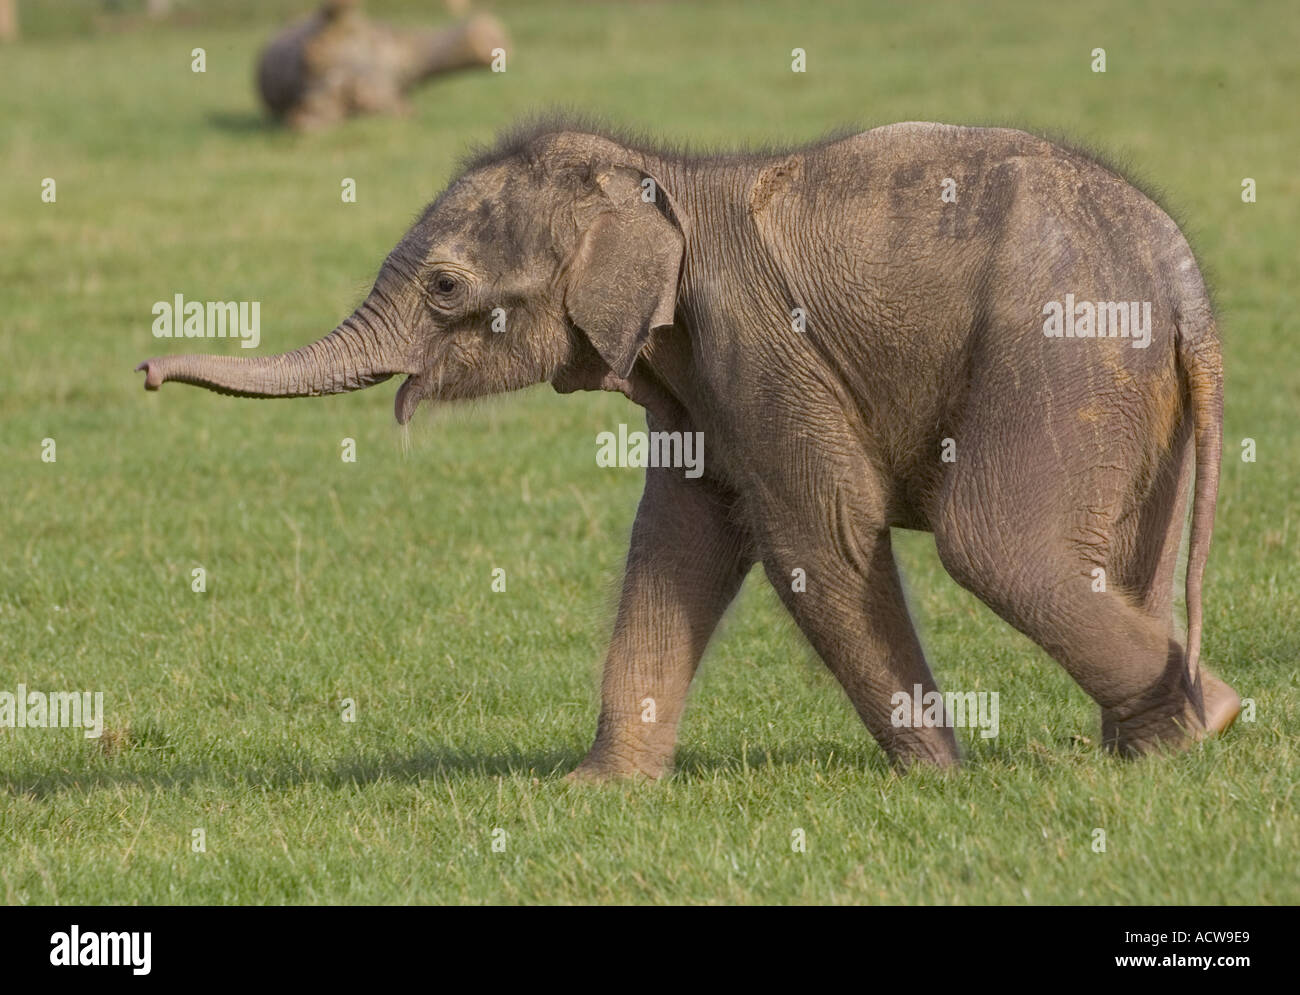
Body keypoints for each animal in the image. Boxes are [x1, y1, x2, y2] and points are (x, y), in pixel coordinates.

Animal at [137, 118, 1241, 779]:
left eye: (446, 287)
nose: (145, 372)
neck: (661, 179)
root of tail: (1182, 280)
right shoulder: (694, 373)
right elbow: (678, 535)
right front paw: (593, 790)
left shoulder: (761, 340)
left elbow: (818, 533)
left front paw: (934, 776)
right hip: (1123, 394)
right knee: (1110, 558)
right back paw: (1159, 743)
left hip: (1058, 358)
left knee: (996, 546)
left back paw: (1212, 716)